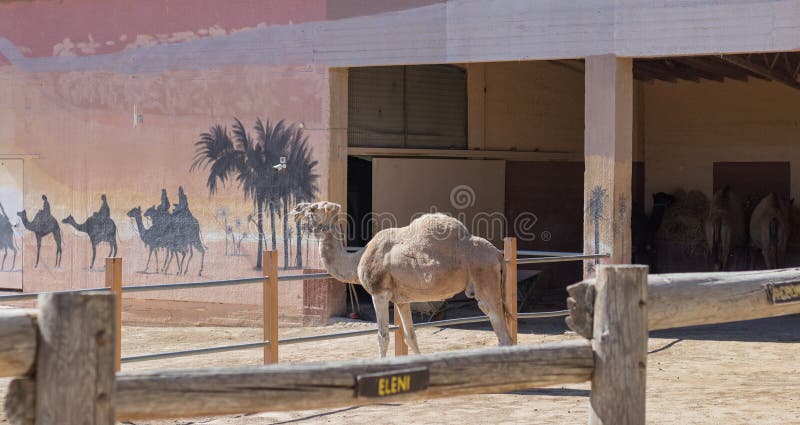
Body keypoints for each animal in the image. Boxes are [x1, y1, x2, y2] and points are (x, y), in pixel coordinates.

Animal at [293, 201, 512, 358]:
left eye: (313, 208)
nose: (295, 209)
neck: (356, 261)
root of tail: (497, 254)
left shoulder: (379, 293)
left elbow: (382, 336)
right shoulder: (402, 300)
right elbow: (410, 335)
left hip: (484, 280)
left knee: (502, 333)